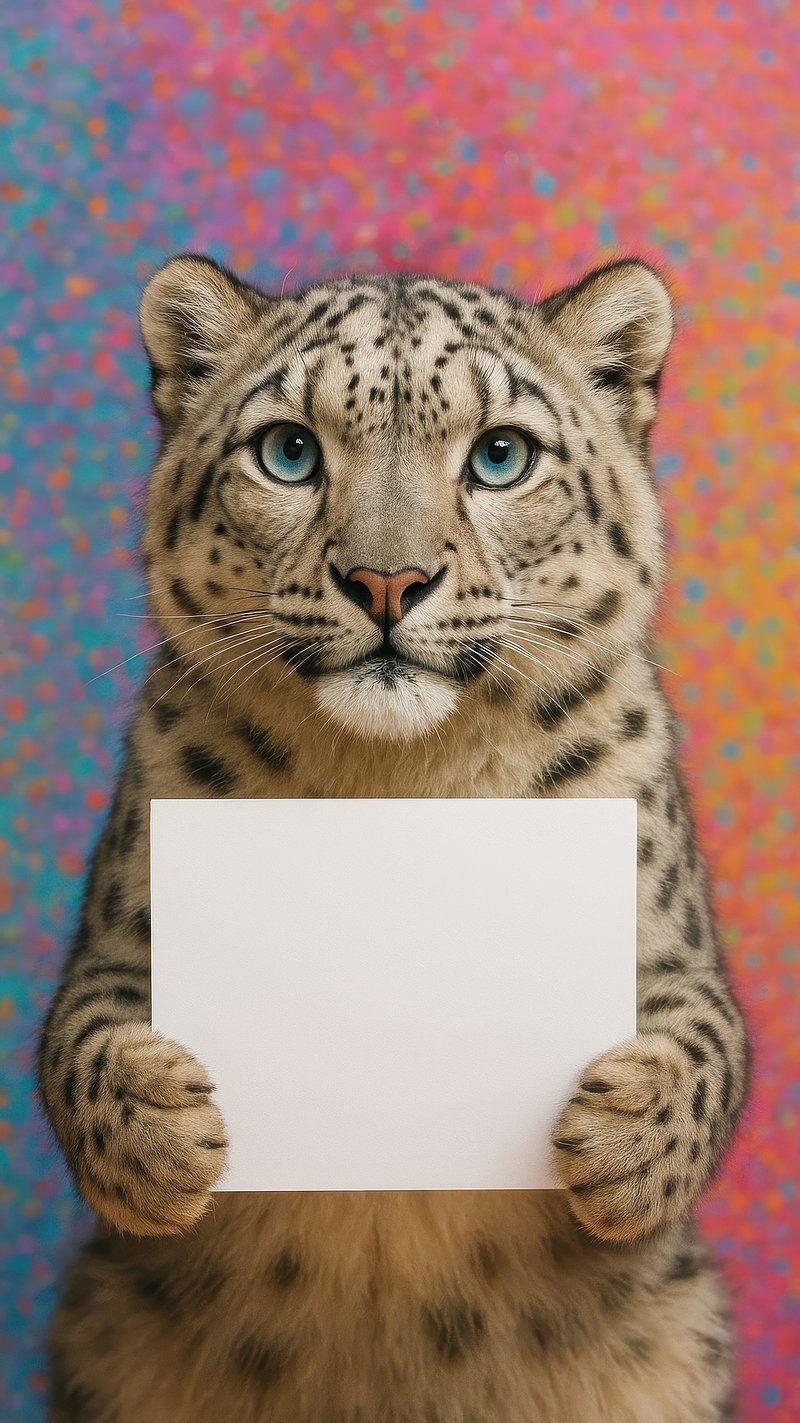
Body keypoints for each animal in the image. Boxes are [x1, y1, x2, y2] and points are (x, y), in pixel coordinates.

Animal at [37, 254, 749, 1422]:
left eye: (501, 454)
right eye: (288, 450)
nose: (386, 581)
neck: (398, 780)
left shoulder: (664, 934)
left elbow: (709, 1037)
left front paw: (621, 1140)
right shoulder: (124, 925)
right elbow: (79, 1033)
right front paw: (160, 1127)